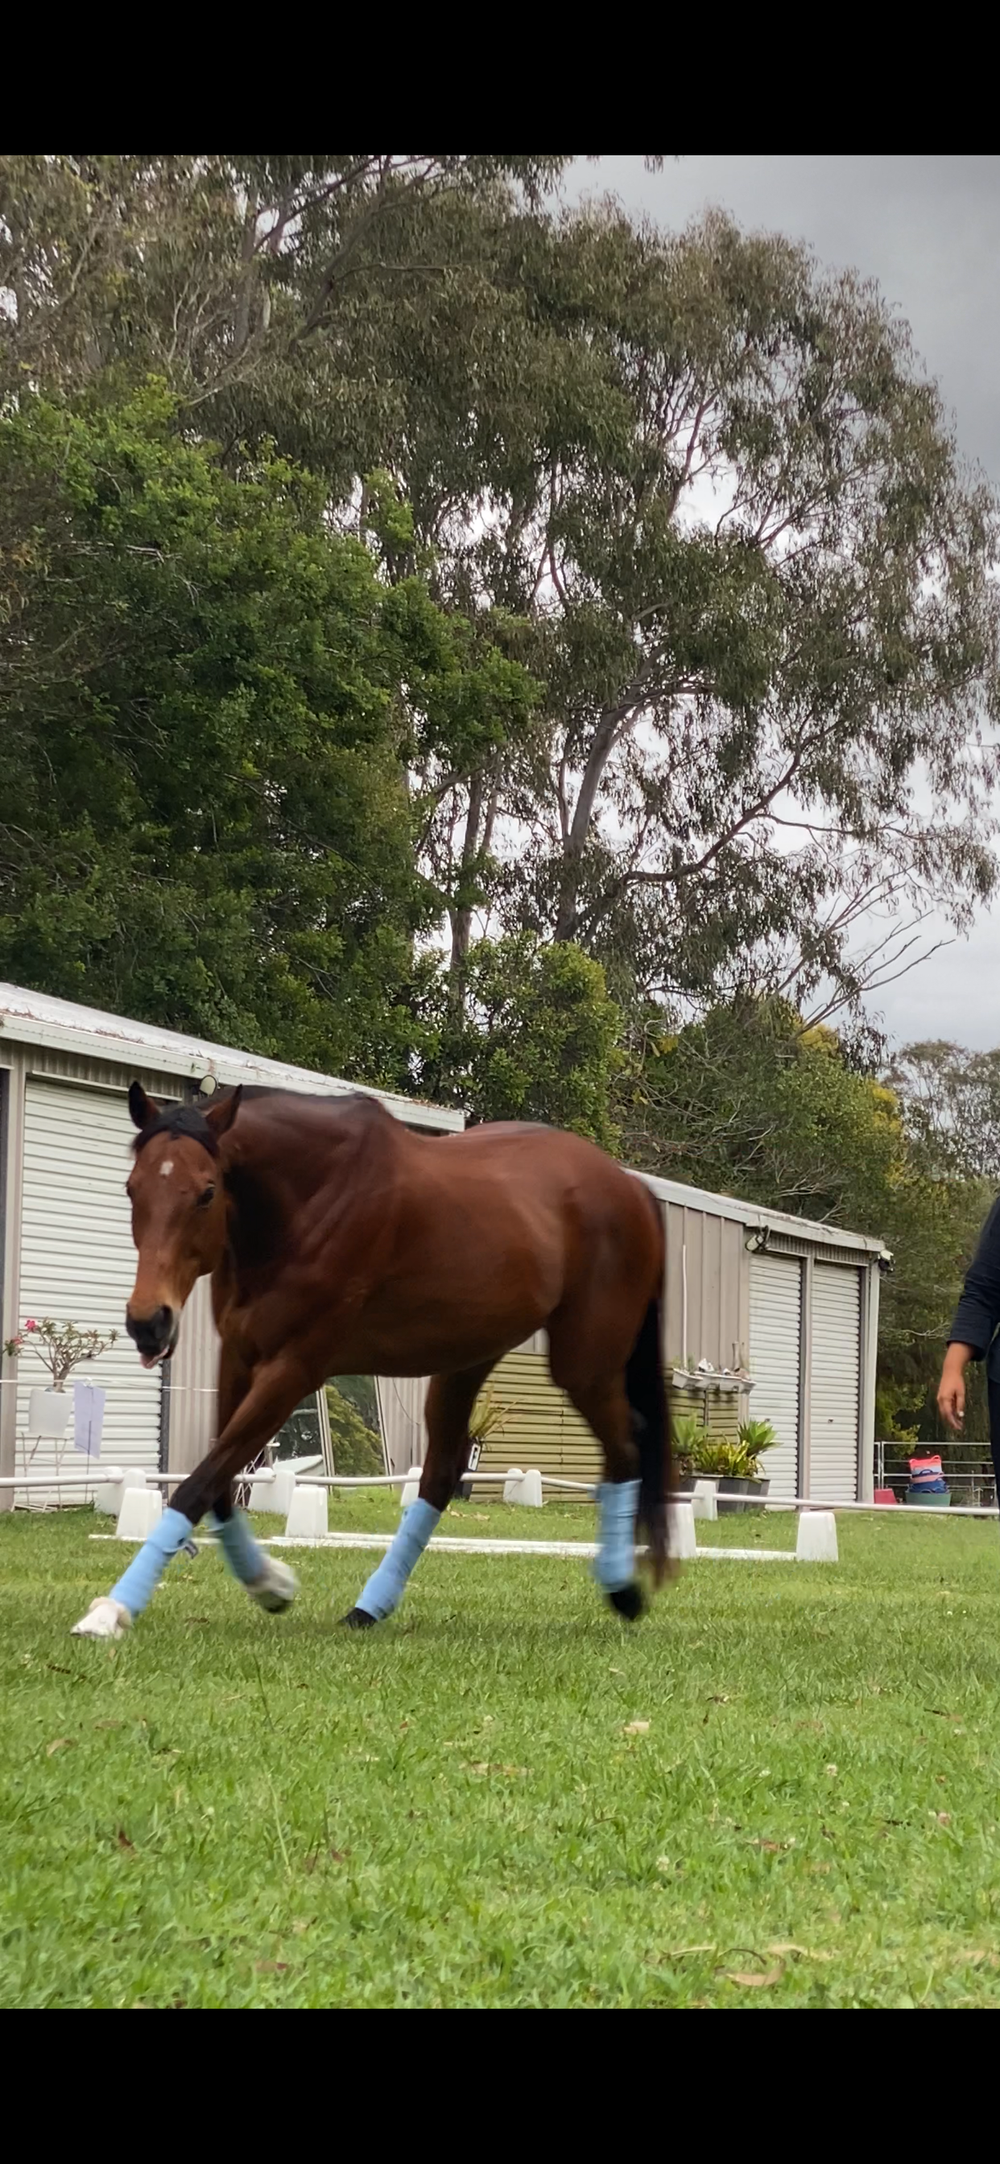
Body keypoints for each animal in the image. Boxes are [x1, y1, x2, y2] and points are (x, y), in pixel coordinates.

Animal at [71, 1083, 673, 1640]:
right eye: (132, 1187)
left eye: (207, 1191)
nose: (148, 1322)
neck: (309, 1199)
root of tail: (629, 1186)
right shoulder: (238, 1359)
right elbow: (217, 1486)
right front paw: (272, 1585)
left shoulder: (293, 1369)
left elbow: (197, 1484)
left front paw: (112, 1610)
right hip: (465, 1361)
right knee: (441, 1475)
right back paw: (370, 1605)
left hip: (584, 1365)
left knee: (625, 1445)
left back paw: (622, 1589)